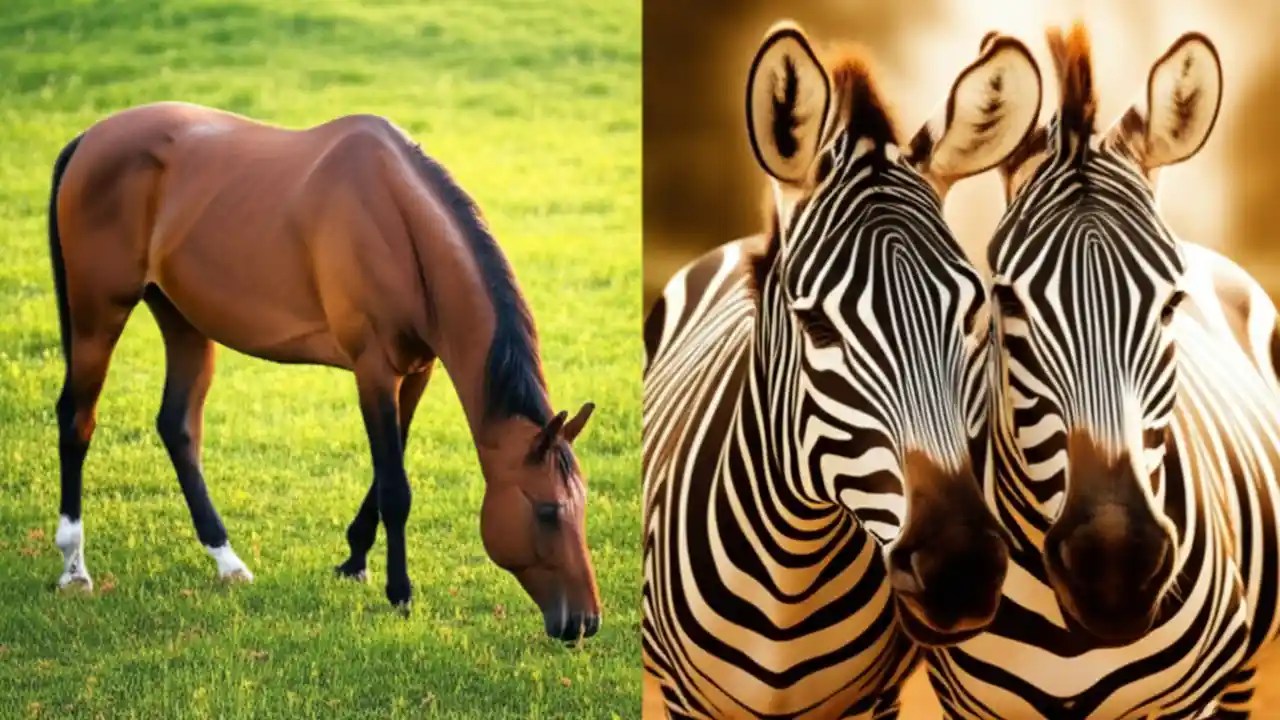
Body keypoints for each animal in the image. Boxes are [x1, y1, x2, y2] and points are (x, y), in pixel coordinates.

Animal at [45, 102, 601, 641]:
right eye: (547, 511)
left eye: (583, 505)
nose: (584, 622)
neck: (397, 221)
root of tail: (89, 139)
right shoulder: (373, 370)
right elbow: (395, 486)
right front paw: (400, 592)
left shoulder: (417, 371)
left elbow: (388, 468)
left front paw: (355, 560)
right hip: (98, 313)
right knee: (77, 420)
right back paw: (74, 568)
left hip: (183, 319)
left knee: (177, 427)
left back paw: (227, 561)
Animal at [643, 22, 1043, 719]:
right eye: (817, 328)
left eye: (974, 316)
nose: (960, 571)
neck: (792, 572)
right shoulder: (683, 699)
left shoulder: (875, 701)